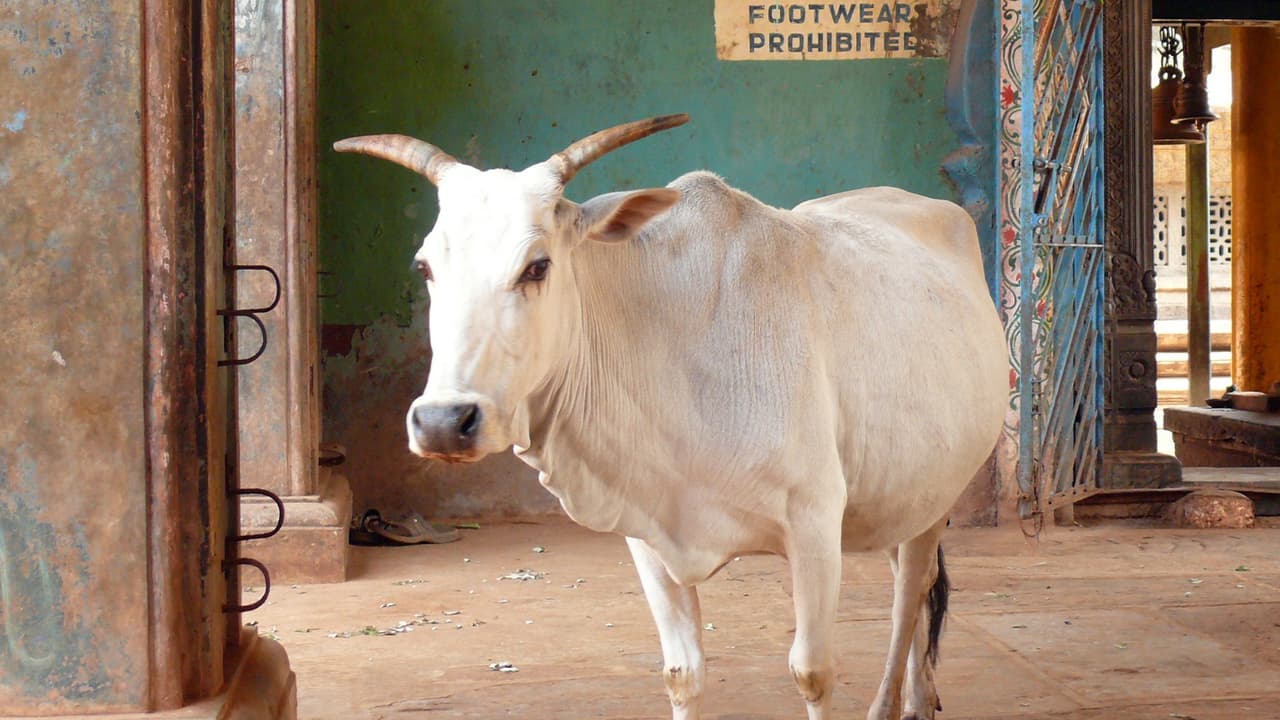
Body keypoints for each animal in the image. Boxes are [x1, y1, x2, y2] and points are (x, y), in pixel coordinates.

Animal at [334, 114, 1007, 720]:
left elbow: (812, 673)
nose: (444, 422)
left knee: (910, 592)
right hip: (899, 490)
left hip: (938, 491)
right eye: (426, 268)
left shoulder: (814, 523)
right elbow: (682, 674)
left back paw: (902, 702)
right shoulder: (648, 533)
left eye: (537, 266)